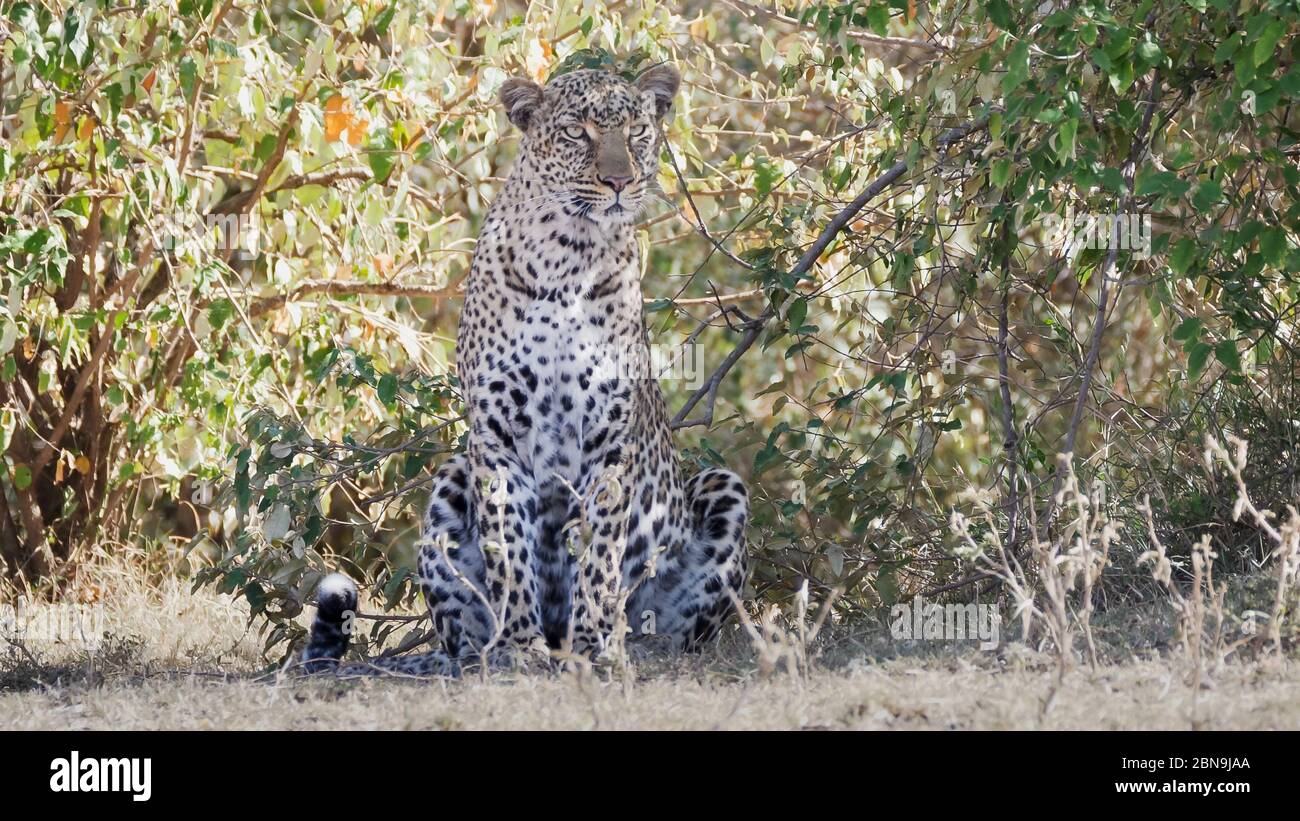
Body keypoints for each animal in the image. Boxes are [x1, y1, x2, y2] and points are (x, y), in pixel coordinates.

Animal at [301, 63, 750, 677]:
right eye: (577, 133)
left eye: (637, 131)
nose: (619, 182)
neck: (569, 257)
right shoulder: (497, 436)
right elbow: (509, 548)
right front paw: (519, 646)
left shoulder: (609, 441)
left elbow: (600, 553)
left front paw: (595, 645)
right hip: (450, 483)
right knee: (459, 638)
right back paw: (486, 654)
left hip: (722, 488)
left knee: (681, 629)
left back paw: (637, 645)